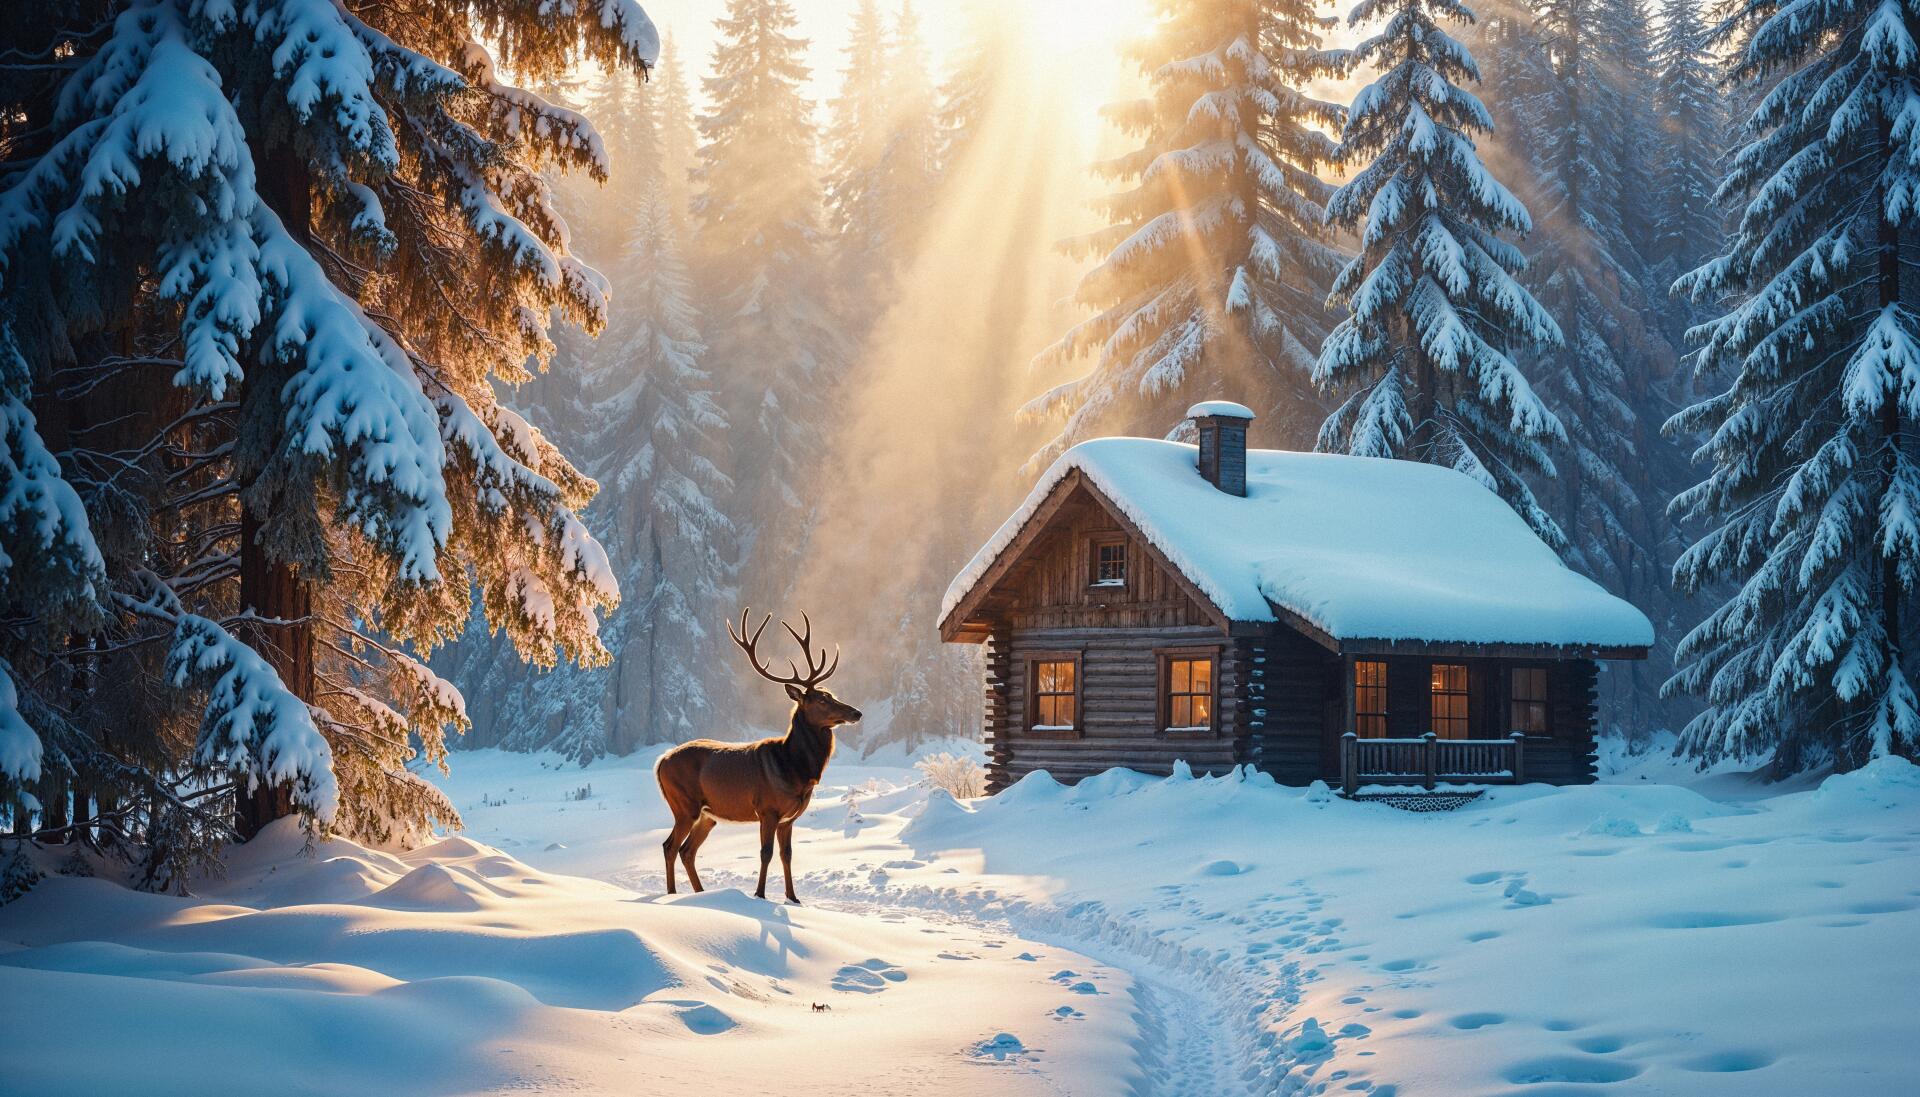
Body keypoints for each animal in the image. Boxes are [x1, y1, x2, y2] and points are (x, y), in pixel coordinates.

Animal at [655, 609, 862, 904]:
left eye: (832, 694)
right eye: (821, 700)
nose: (856, 713)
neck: (796, 769)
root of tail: (660, 762)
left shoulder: (789, 818)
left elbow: (787, 855)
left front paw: (793, 898)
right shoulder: (767, 808)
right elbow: (766, 853)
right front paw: (760, 894)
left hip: (708, 815)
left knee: (687, 851)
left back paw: (701, 894)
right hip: (684, 804)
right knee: (670, 846)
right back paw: (672, 895)